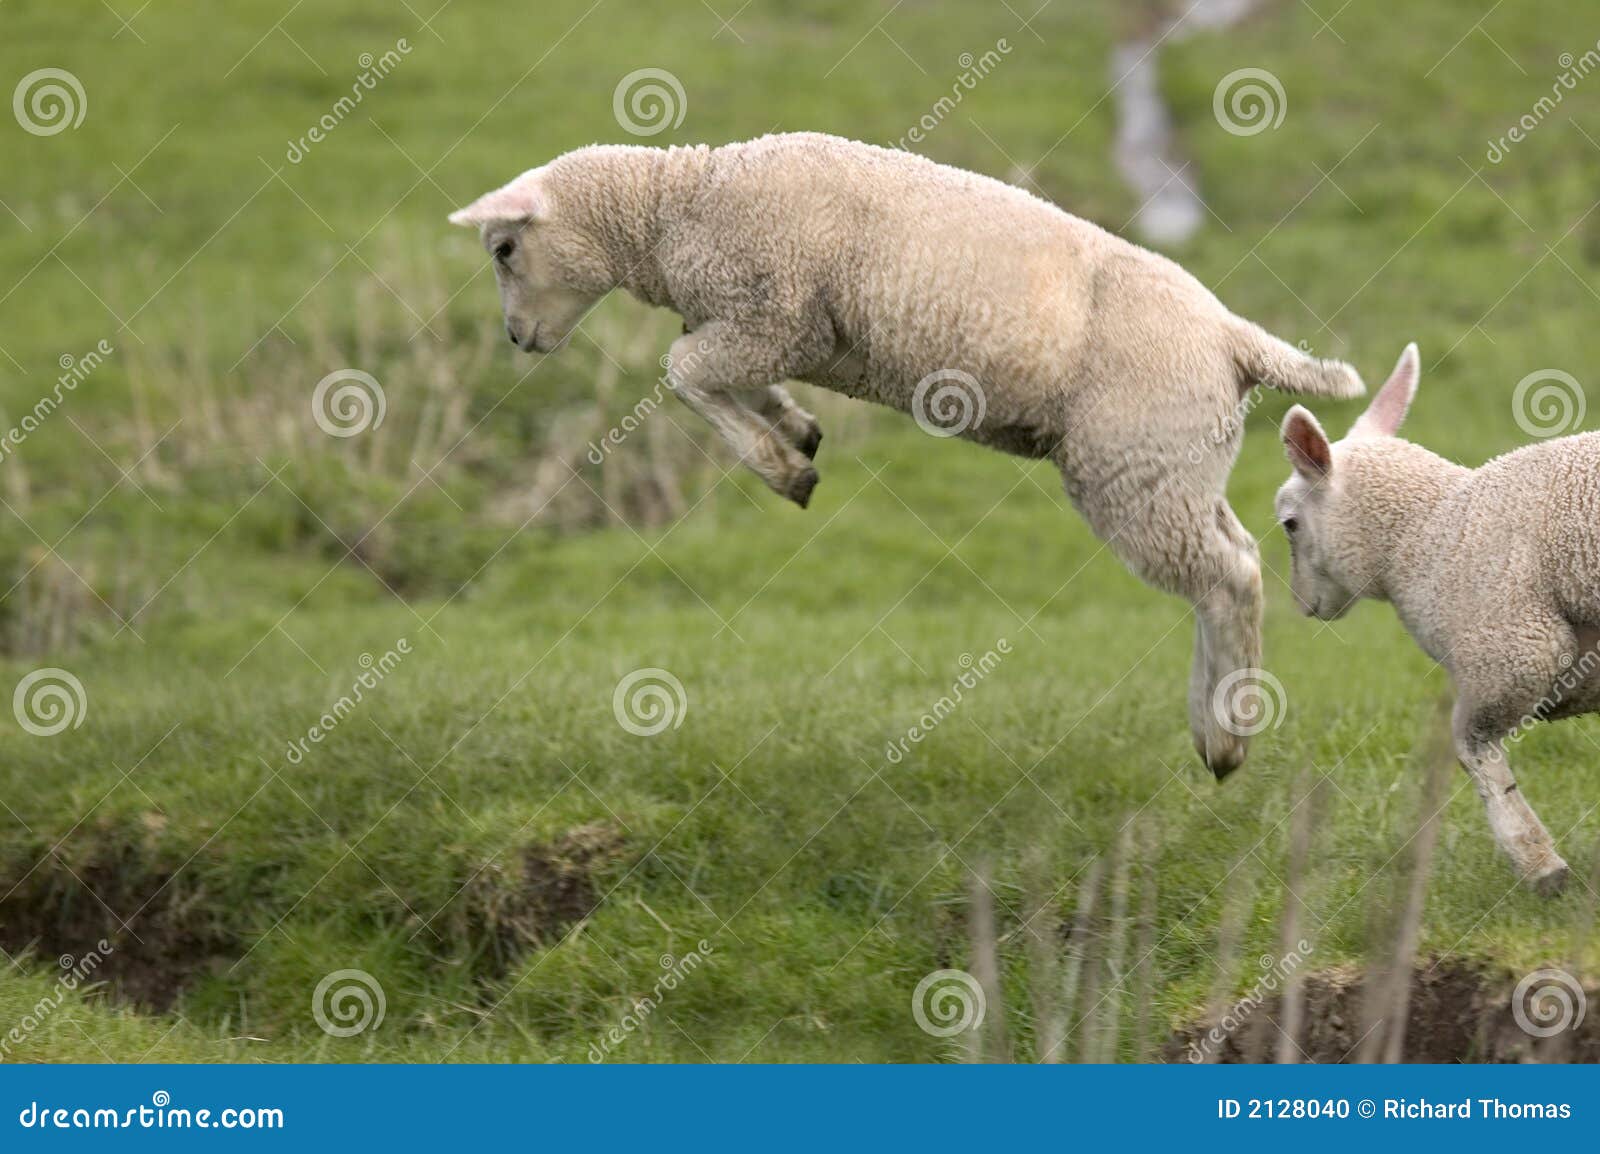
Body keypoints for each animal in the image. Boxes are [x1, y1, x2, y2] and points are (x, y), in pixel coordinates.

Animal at [450, 131, 1366, 778]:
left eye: (504, 249)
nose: (517, 340)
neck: (674, 210)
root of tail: (1234, 338)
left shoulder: (773, 313)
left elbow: (680, 371)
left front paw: (781, 466)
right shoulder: (775, 331)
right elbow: (714, 372)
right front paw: (795, 433)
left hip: (1131, 467)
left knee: (1226, 576)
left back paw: (1226, 739)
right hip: (1176, 462)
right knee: (1230, 561)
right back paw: (1211, 718)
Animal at [1277, 344, 1596, 894]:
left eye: (1289, 524)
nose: (1303, 605)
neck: (1427, 533)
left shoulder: (1514, 654)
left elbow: (1472, 751)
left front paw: (1538, 863)